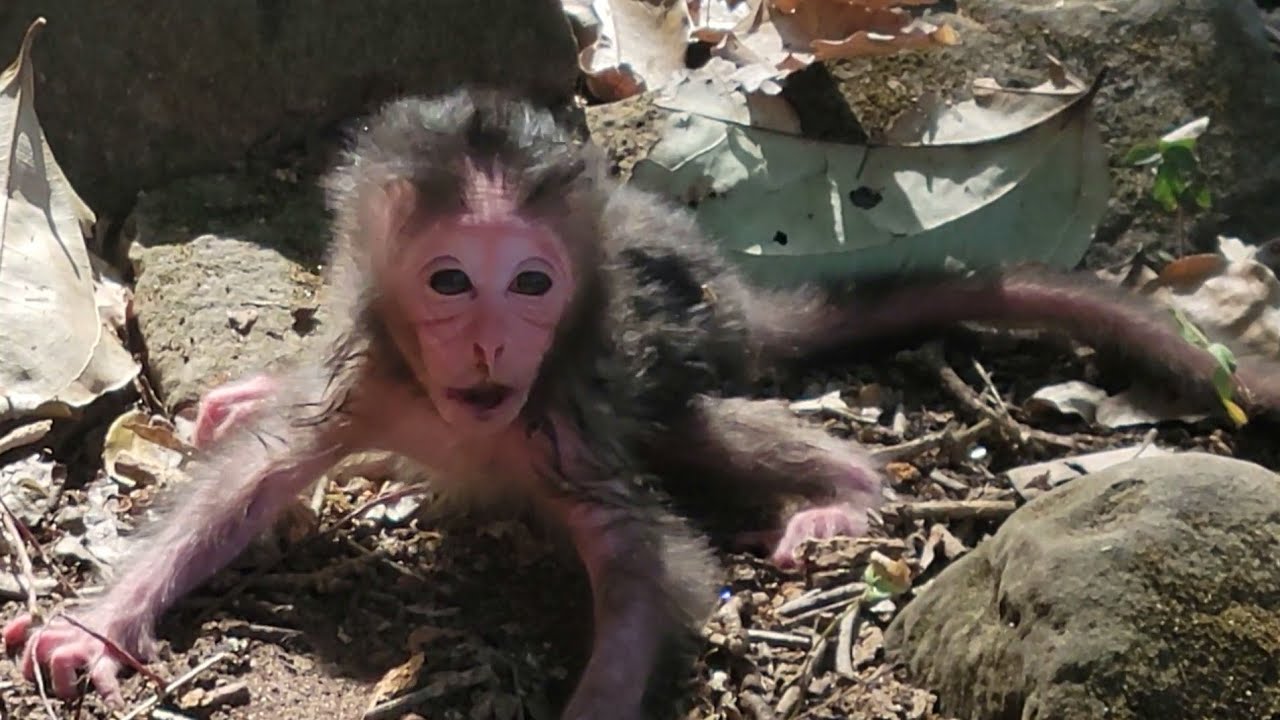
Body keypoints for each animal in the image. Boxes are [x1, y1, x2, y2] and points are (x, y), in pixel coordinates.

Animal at [5, 87, 1280, 720]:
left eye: (529, 284)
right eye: (450, 282)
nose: (492, 338)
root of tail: (714, 275)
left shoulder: (567, 410)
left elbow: (646, 566)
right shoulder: (365, 377)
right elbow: (242, 486)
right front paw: (94, 625)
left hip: (686, 349)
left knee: (698, 424)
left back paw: (840, 489)